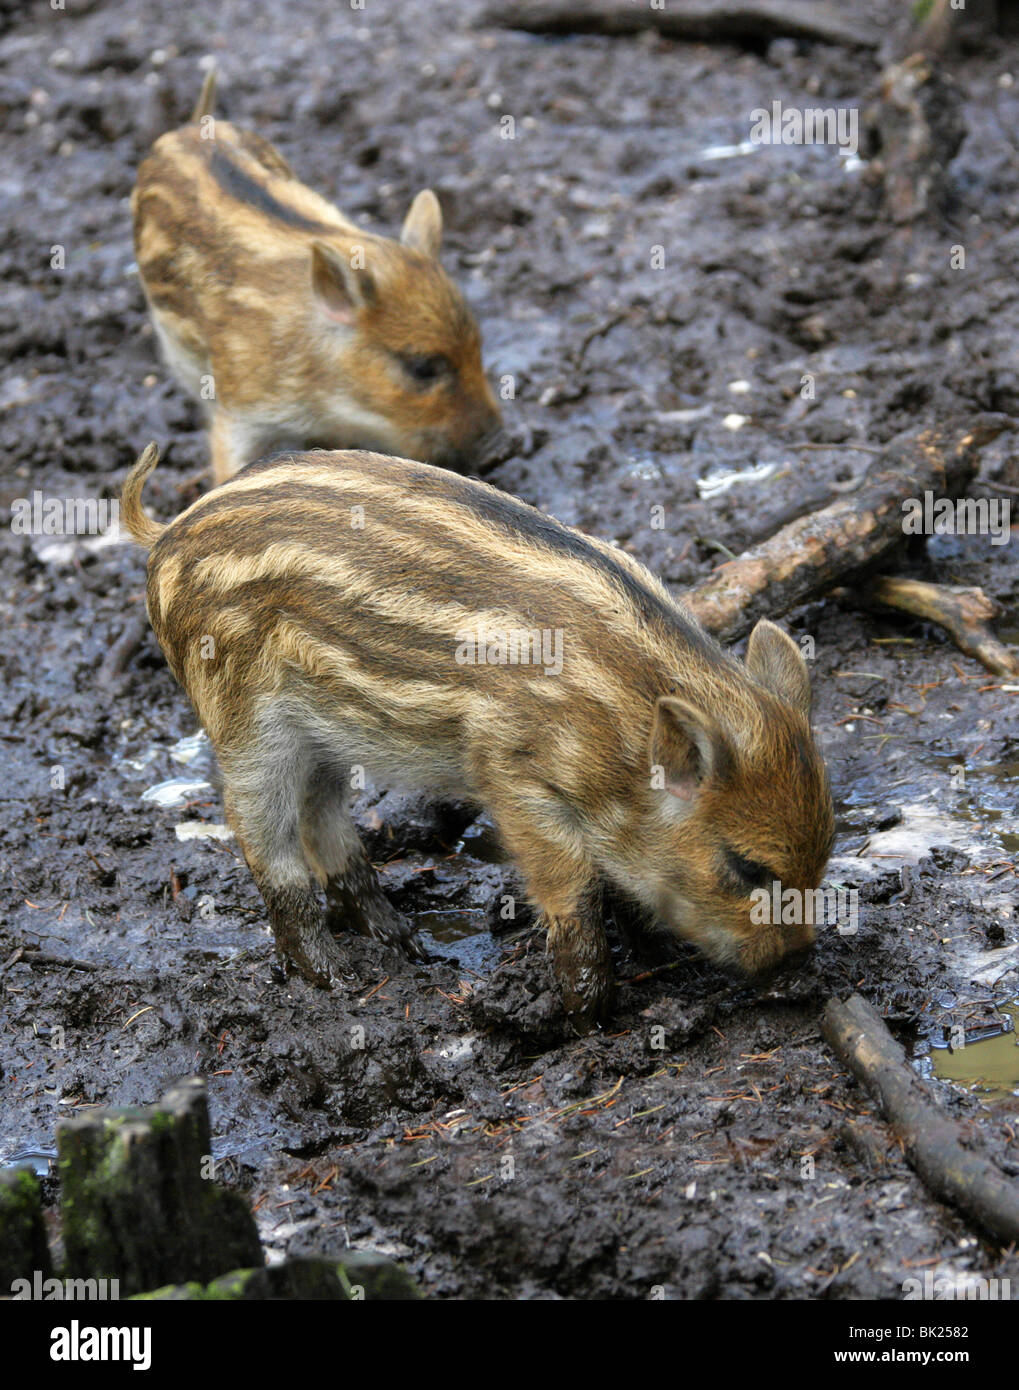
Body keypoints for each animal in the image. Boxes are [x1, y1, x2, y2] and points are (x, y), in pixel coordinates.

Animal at [122, 443, 835, 1025]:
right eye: (746, 868)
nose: (799, 968)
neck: (622, 732)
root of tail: (166, 533)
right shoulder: (513, 775)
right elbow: (572, 890)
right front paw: (584, 1016)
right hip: (245, 720)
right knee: (261, 838)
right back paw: (339, 978)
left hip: (323, 731)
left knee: (322, 816)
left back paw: (403, 941)